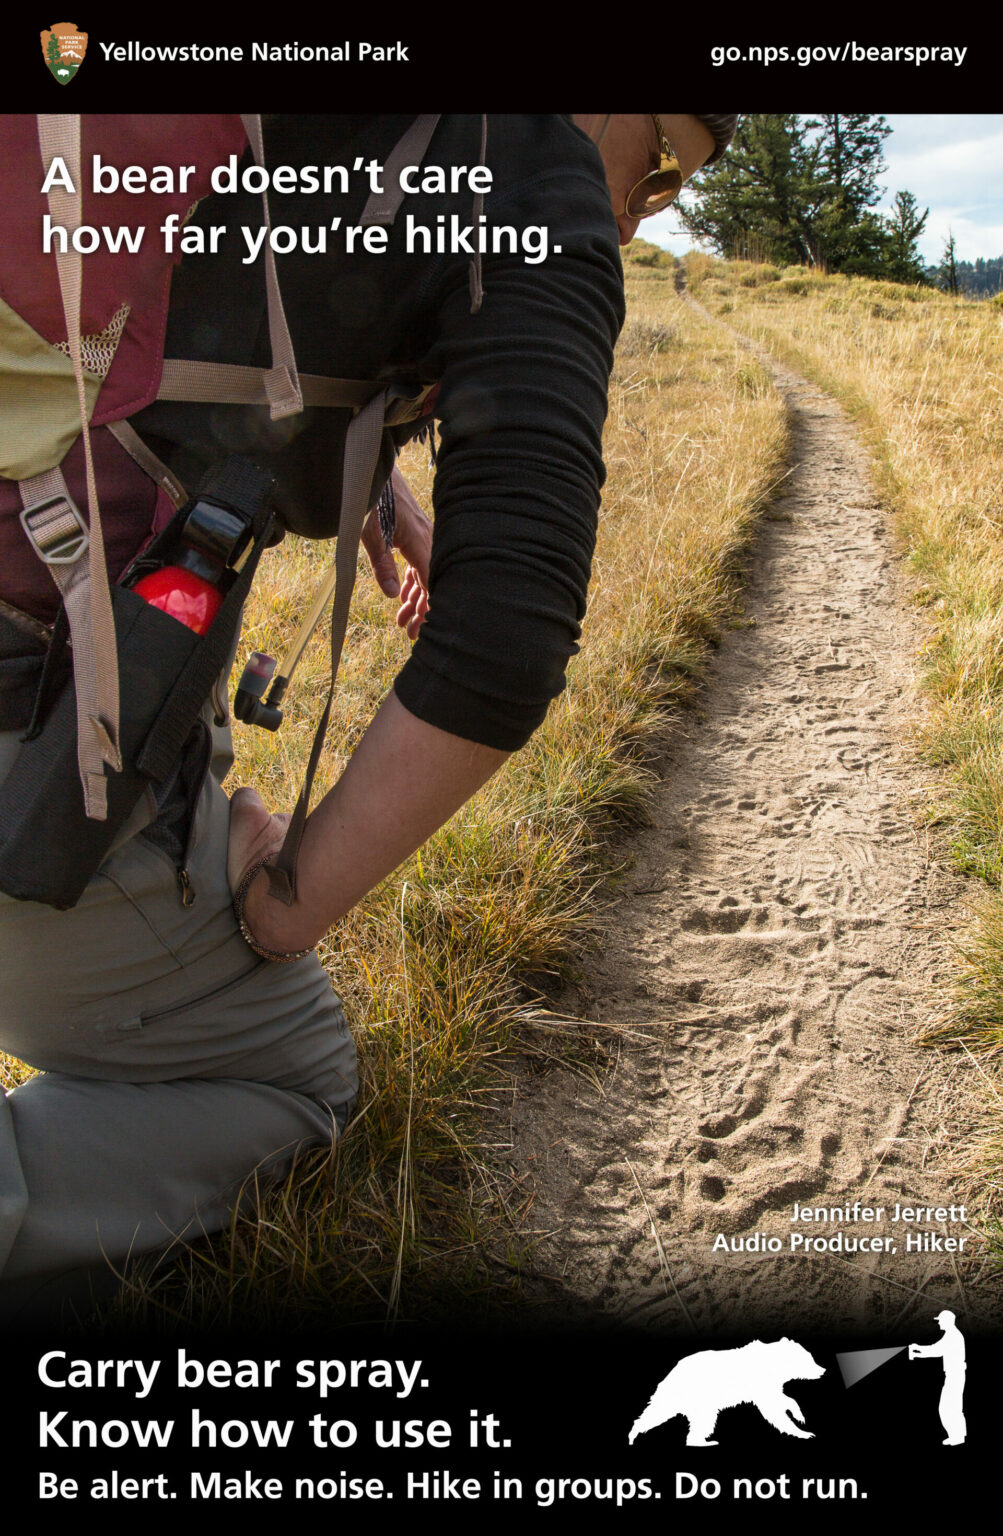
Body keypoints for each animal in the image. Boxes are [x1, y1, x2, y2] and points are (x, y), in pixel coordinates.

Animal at [628, 1337, 826, 1447]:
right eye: (809, 1359)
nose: (823, 1370)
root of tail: (671, 1372)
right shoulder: (760, 1383)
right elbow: (775, 1409)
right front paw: (802, 1430)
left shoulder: (769, 1385)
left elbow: (782, 1401)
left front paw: (800, 1418)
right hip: (690, 1396)